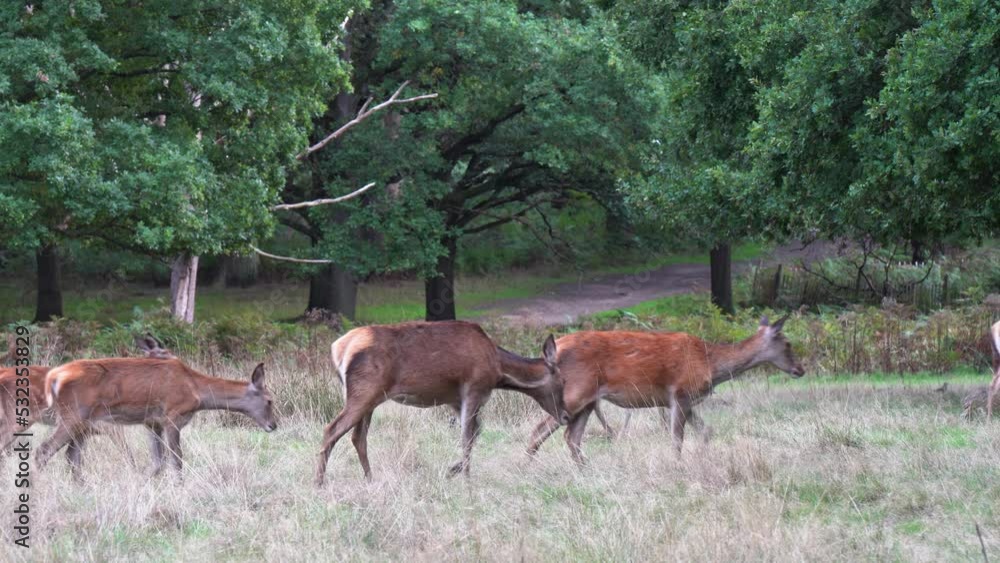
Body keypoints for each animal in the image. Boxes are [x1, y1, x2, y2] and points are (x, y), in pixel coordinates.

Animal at [36, 355, 276, 479]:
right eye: (270, 400)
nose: (273, 425)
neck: (196, 391)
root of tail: (53, 377)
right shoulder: (172, 415)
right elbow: (176, 459)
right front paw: (179, 487)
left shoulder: (152, 422)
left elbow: (158, 462)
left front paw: (141, 480)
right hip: (74, 413)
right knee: (44, 449)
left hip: (82, 422)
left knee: (71, 455)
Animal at [316, 320, 568, 486]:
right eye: (562, 381)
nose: (566, 415)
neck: (498, 370)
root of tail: (338, 348)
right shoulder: (474, 387)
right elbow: (467, 436)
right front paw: (466, 478)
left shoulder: (454, 399)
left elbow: (476, 433)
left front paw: (453, 470)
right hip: (365, 391)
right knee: (331, 430)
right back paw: (319, 482)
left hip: (370, 397)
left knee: (358, 437)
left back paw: (370, 479)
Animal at [526, 314, 805, 464]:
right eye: (788, 344)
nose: (800, 369)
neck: (711, 365)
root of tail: (554, 348)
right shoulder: (680, 393)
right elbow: (677, 439)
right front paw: (678, 464)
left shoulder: (682, 401)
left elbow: (706, 432)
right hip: (574, 393)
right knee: (539, 430)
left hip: (587, 401)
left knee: (571, 438)